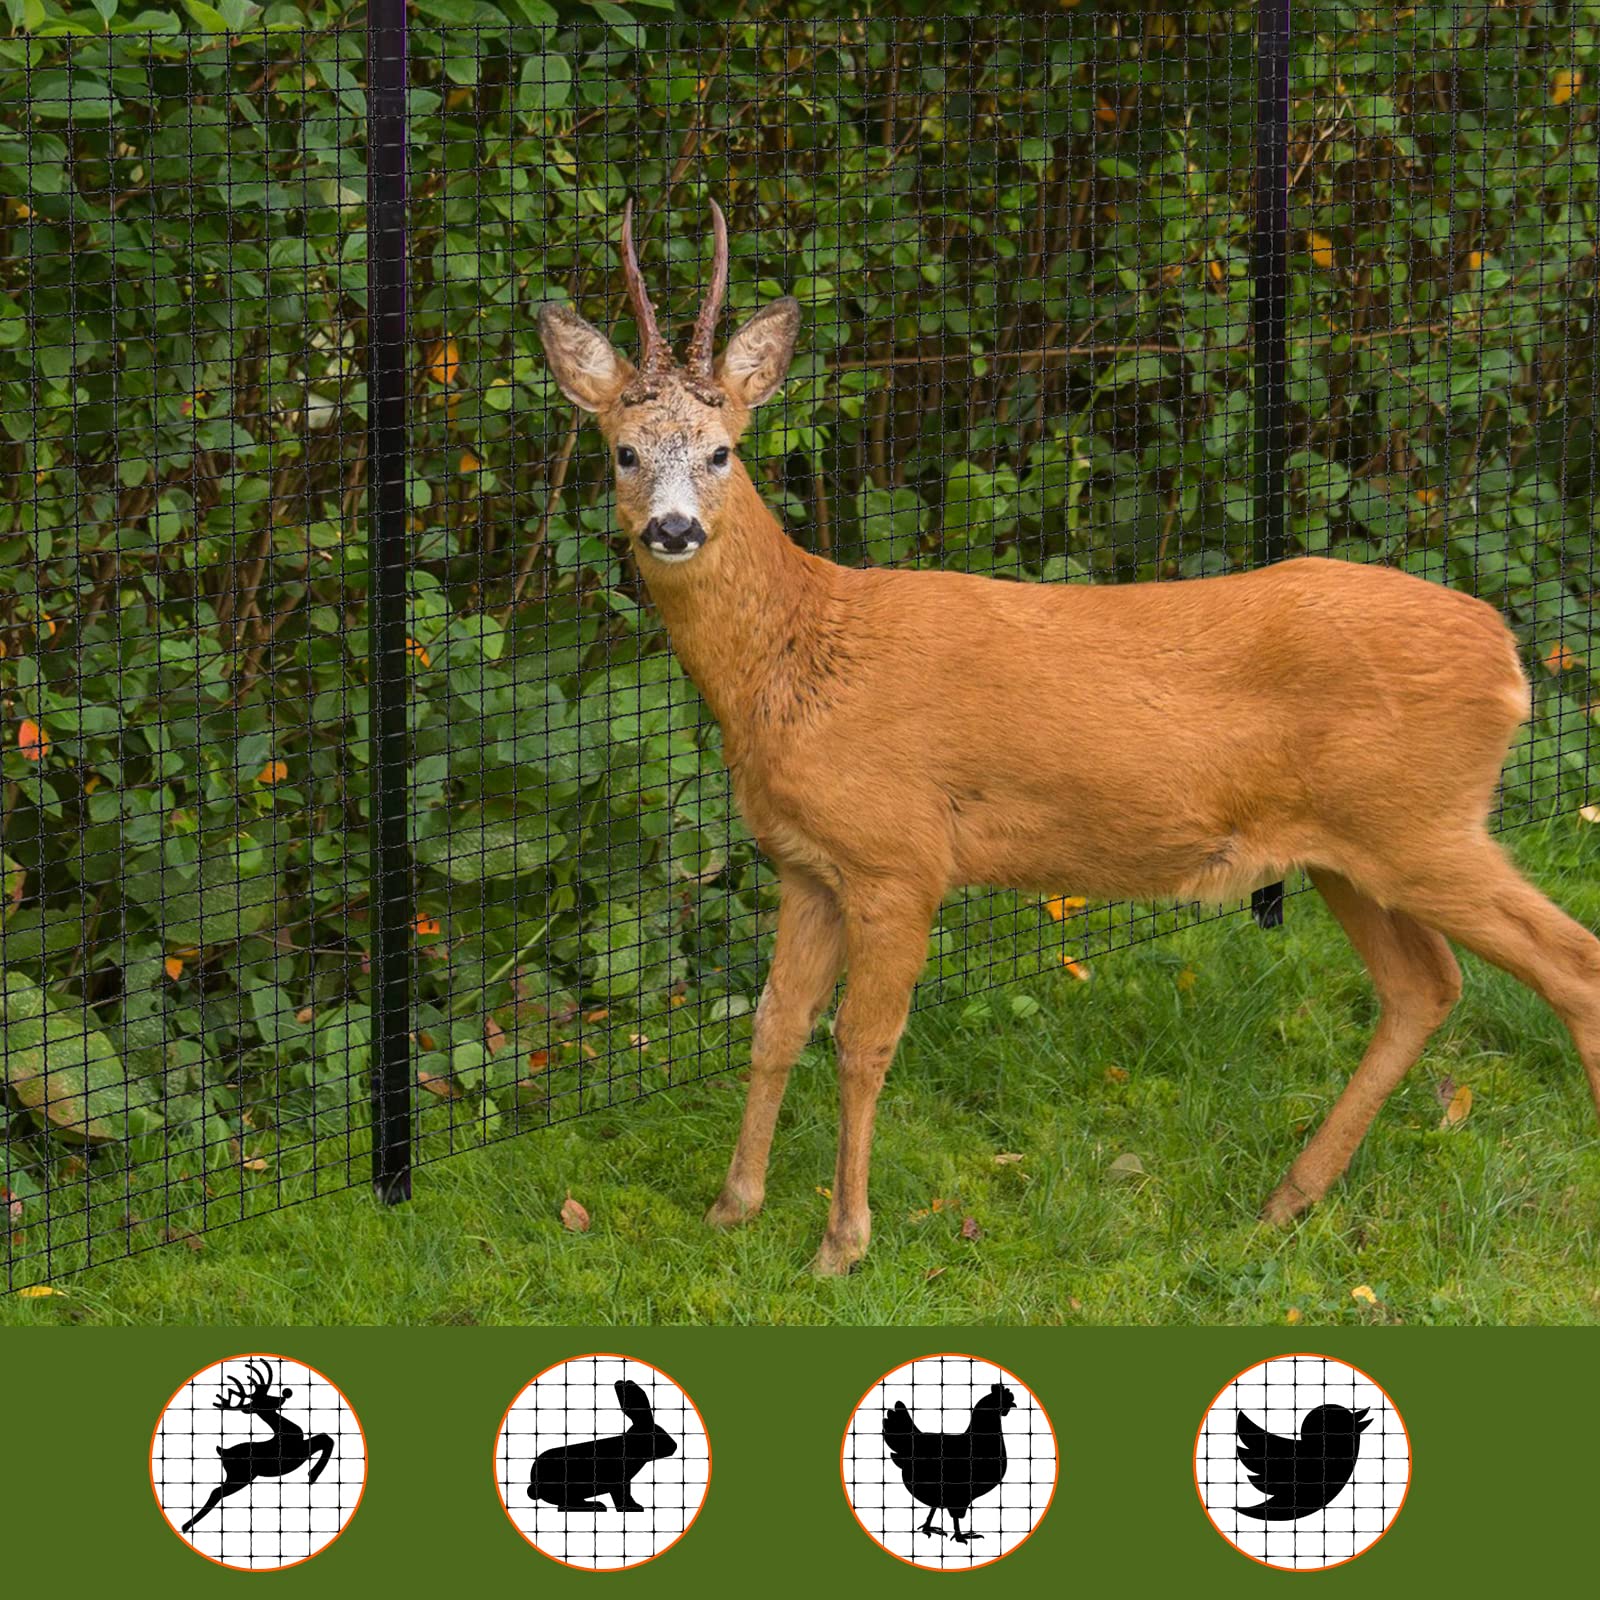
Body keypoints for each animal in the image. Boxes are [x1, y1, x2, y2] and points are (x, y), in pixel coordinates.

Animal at [182, 1359, 334, 1534]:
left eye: (267, 1395)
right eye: (265, 1400)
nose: (285, 1393)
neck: (287, 1433)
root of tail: (222, 1452)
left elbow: (325, 1437)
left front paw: (312, 1474)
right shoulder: (296, 1451)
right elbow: (326, 1439)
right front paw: (312, 1475)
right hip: (240, 1476)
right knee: (216, 1492)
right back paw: (186, 1526)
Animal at [535, 199, 1600, 1276]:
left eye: (721, 451)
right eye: (624, 451)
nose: (672, 530)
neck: (798, 657)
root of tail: (1507, 654)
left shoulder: (899, 856)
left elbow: (861, 1043)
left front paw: (842, 1241)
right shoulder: (807, 866)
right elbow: (773, 1026)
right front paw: (733, 1206)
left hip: (1422, 824)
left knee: (1571, 964)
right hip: (1352, 846)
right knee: (1427, 985)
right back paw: (1286, 1199)